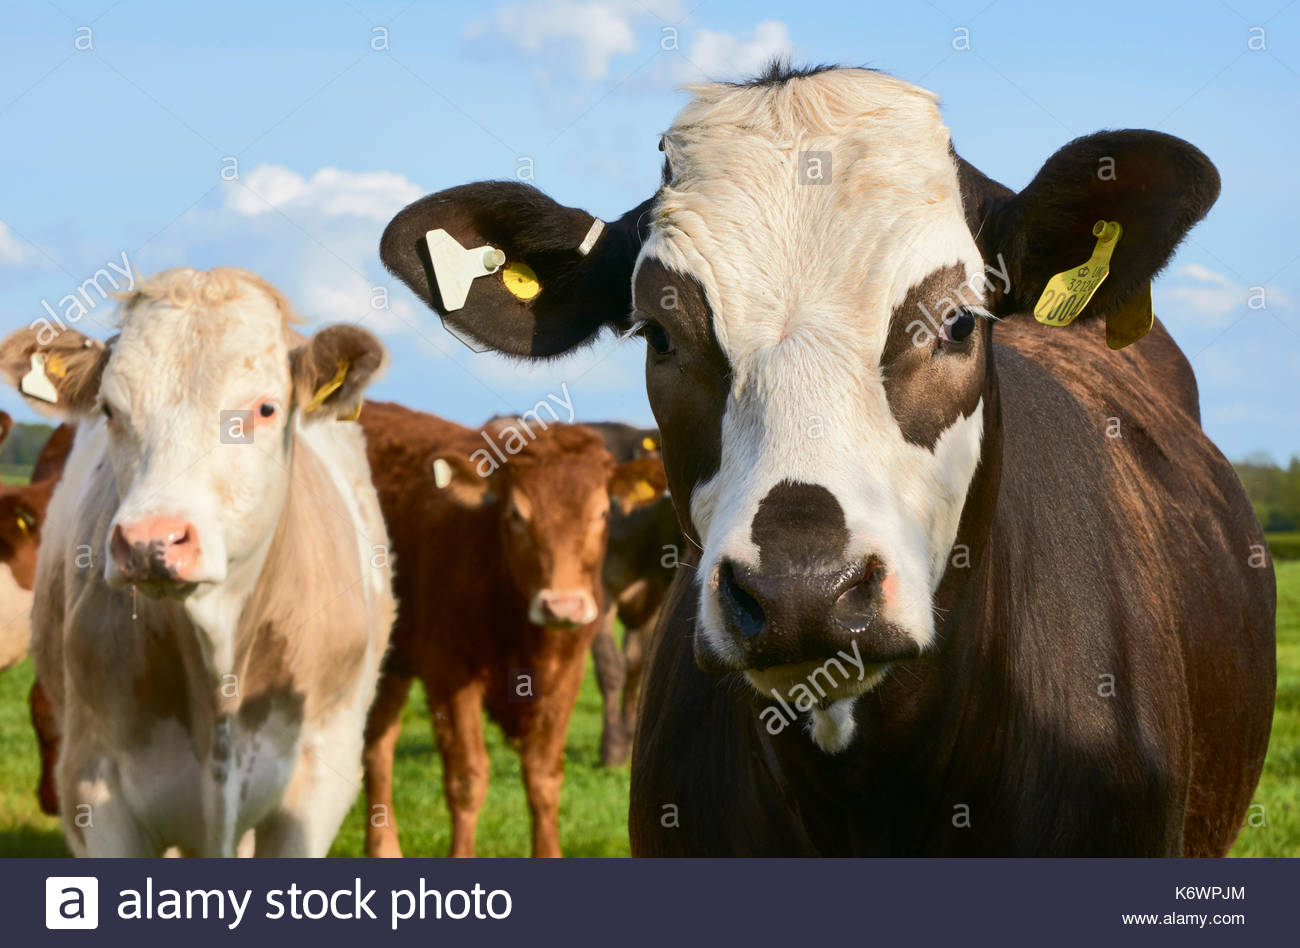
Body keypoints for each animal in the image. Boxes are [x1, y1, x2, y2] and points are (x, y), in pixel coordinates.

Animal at [359, 402, 657, 857]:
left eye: (603, 512)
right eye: (517, 514)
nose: (563, 605)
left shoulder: (568, 675)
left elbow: (544, 779)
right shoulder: (448, 672)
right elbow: (467, 779)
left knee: (378, 743)